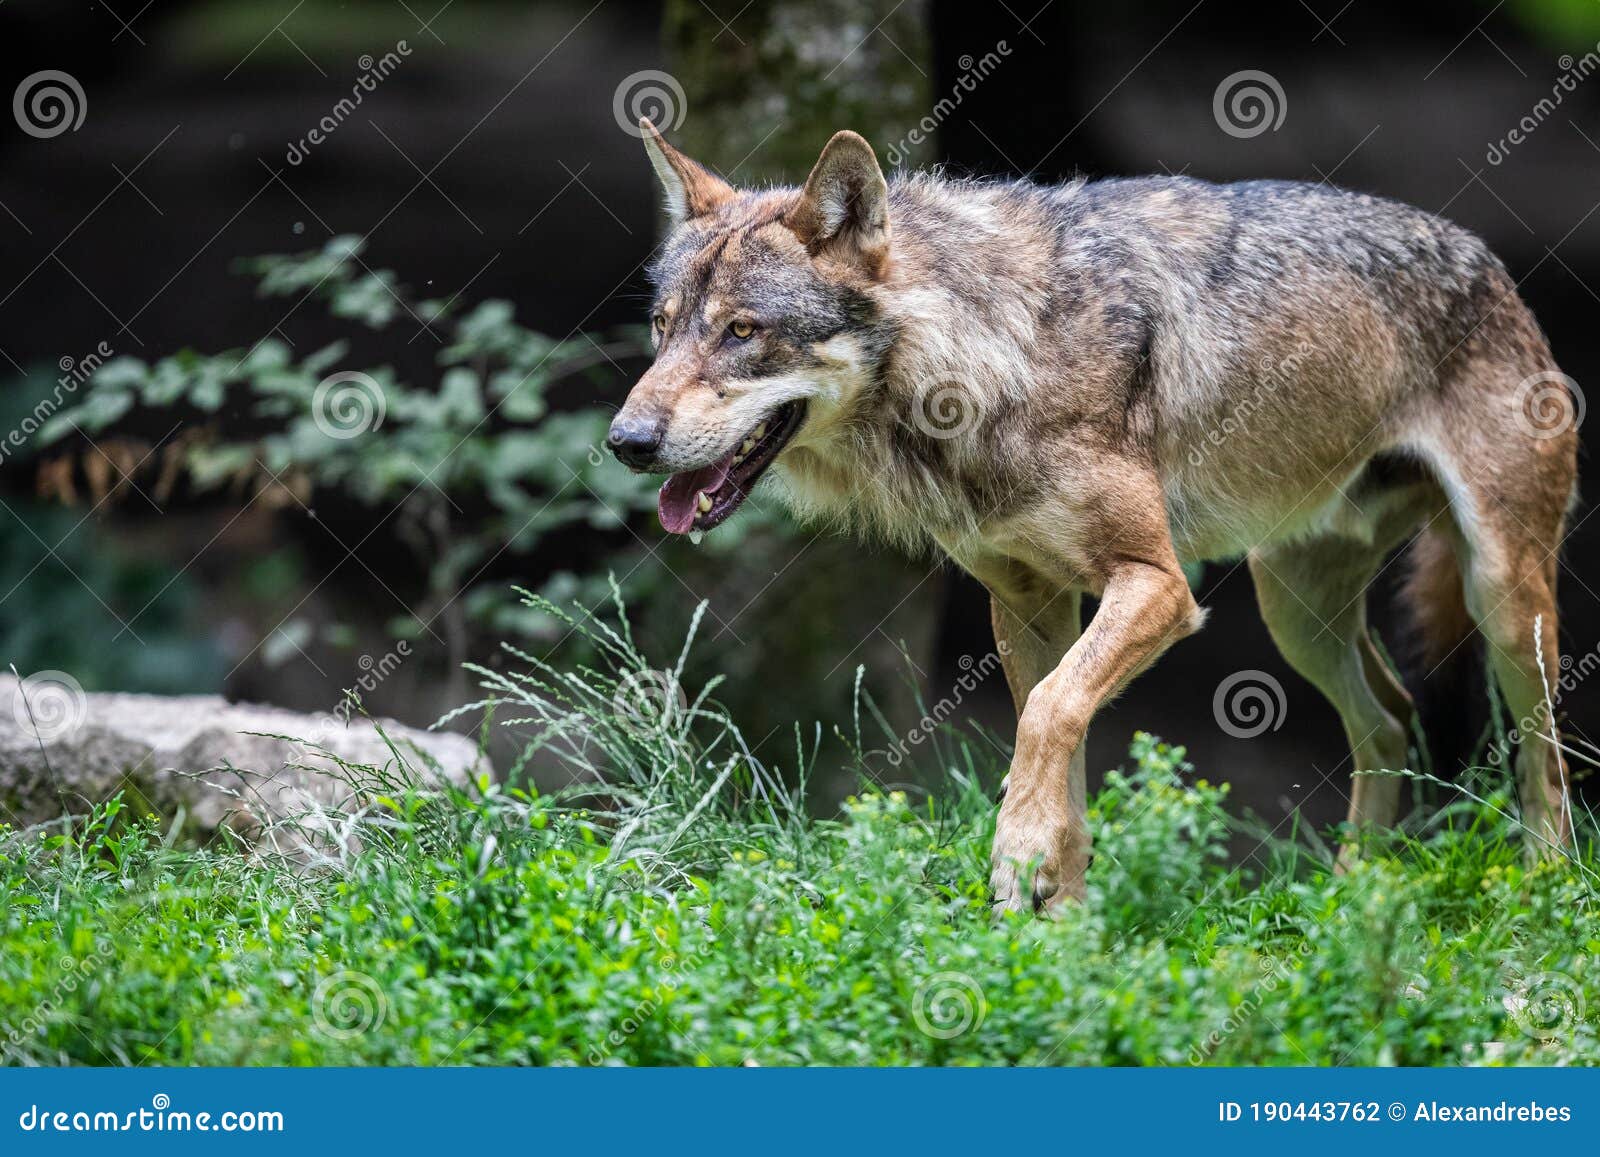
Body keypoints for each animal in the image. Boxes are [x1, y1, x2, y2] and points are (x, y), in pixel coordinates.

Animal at [609, 118, 1579, 913]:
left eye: (741, 331)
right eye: (661, 326)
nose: (626, 440)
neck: (990, 357)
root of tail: (1488, 260)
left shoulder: (1156, 583)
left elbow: (1046, 714)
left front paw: (1019, 857)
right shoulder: (1028, 604)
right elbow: (1058, 732)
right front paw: (1059, 918)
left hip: (1501, 599)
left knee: (1544, 754)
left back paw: (1544, 892)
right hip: (1294, 609)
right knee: (1390, 715)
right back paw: (1351, 898)